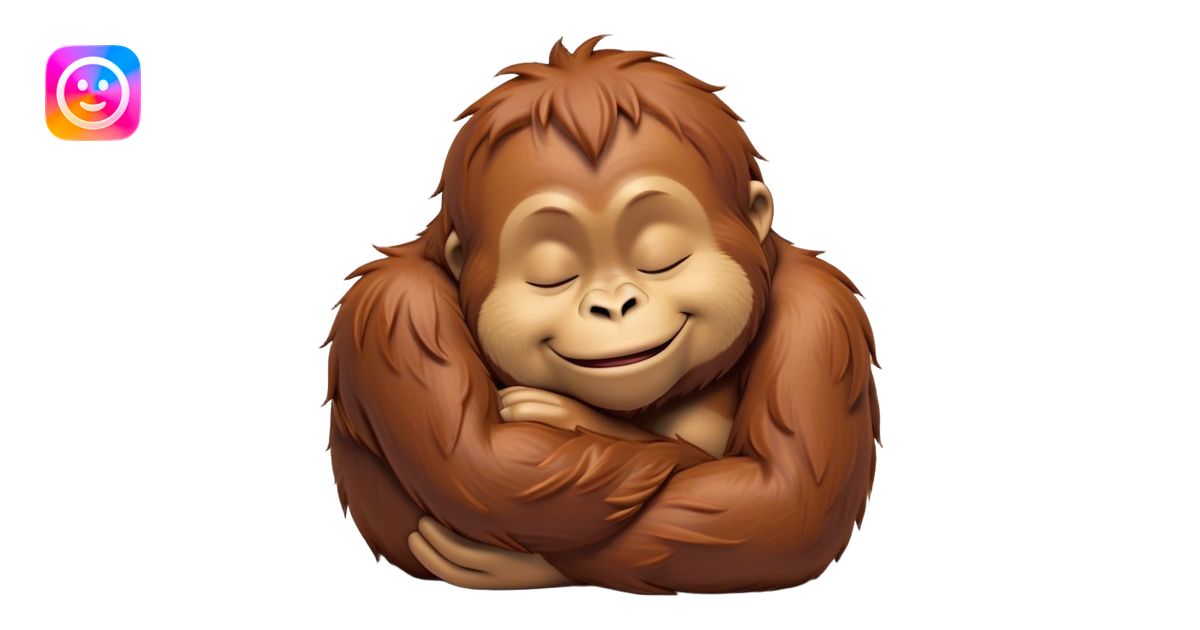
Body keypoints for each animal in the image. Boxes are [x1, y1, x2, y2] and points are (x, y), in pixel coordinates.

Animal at [324, 35, 880, 594]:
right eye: (552, 273)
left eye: (662, 256)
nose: (614, 304)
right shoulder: (396, 312)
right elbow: (478, 467)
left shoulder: (820, 320)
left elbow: (784, 505)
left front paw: (570, 419)